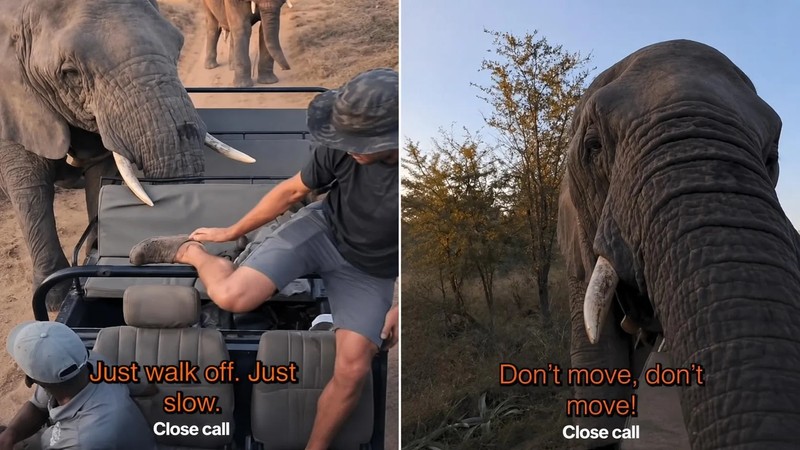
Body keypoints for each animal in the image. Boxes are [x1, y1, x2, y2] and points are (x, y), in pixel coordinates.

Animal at [0, 0, 254, 309]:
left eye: (178, 47)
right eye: (69, 72)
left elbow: (100, 168)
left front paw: (94, 251)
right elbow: (29, 182)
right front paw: (56, 300)